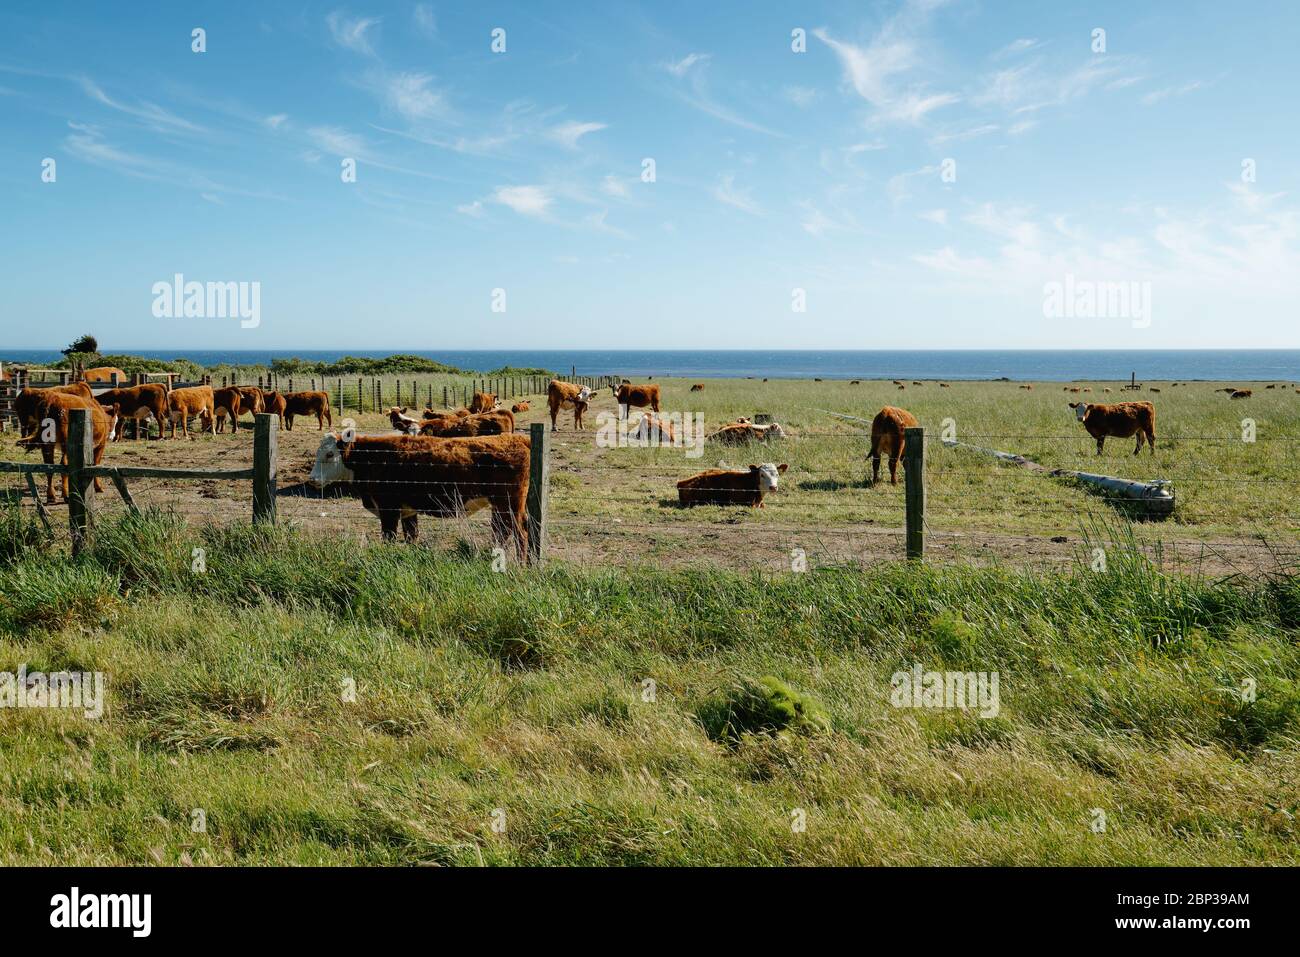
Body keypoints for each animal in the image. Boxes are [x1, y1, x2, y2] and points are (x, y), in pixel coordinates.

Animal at [308, 432, 531, 557]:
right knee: (506, 530)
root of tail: (519, 438)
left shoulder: (389, 509)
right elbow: (411, 537)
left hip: (509, 503)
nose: (312, 479)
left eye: (330, 454)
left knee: (519, 533)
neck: (374, 458)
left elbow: (389, 537)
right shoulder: (408, 512)